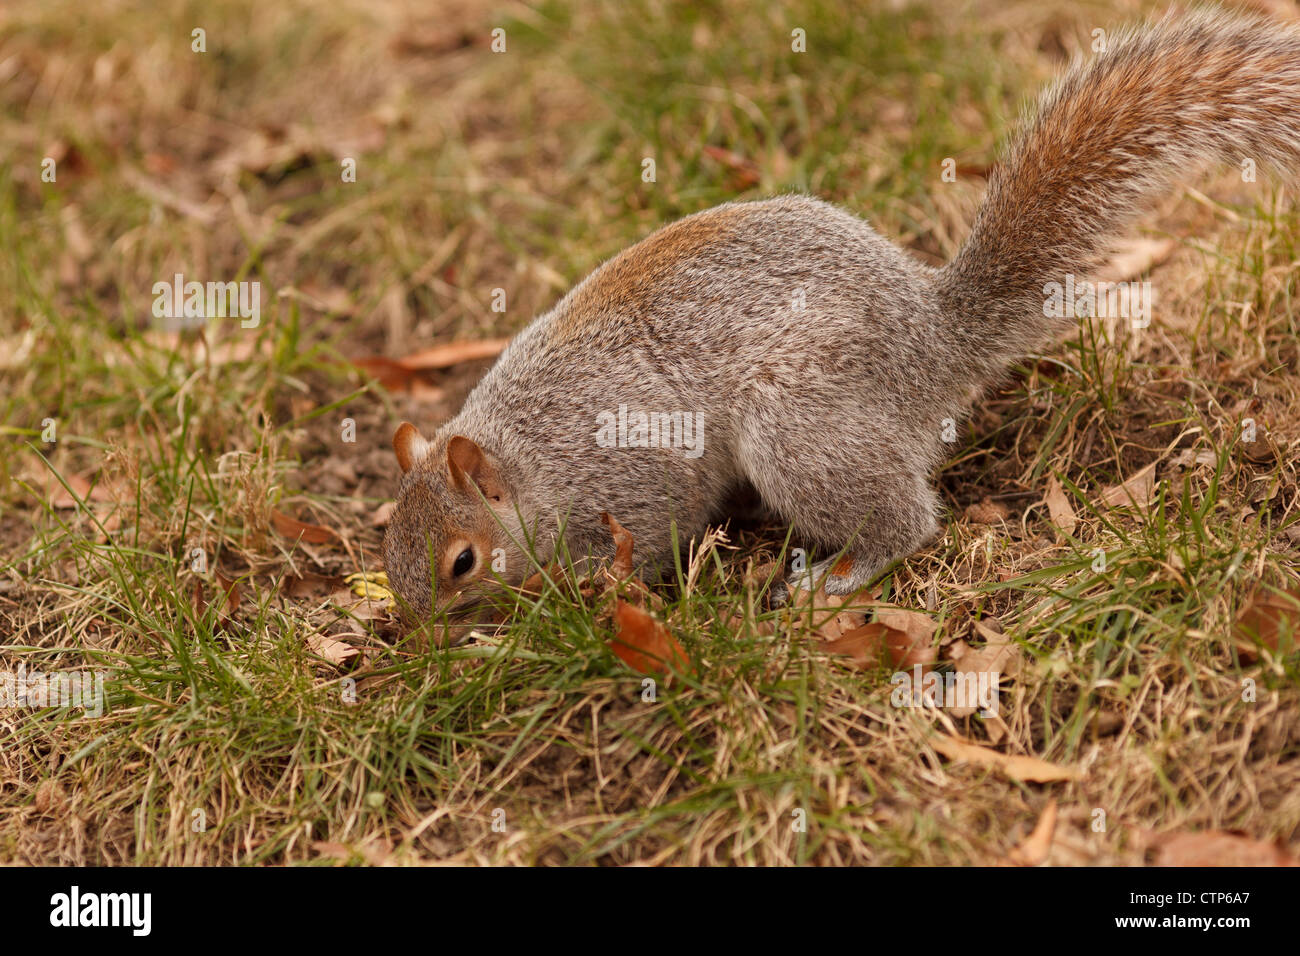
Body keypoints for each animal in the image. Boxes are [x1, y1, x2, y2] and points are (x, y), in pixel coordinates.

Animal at [382, 10, 1300, 629]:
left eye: (462, 562)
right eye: (387, 543)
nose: (420, 638)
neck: (525, 459)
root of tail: (933, 339)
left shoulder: (625, 478)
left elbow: (643, 544)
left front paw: (571, 600)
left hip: (800, 424)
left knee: (904, 521)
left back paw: (838, 575)